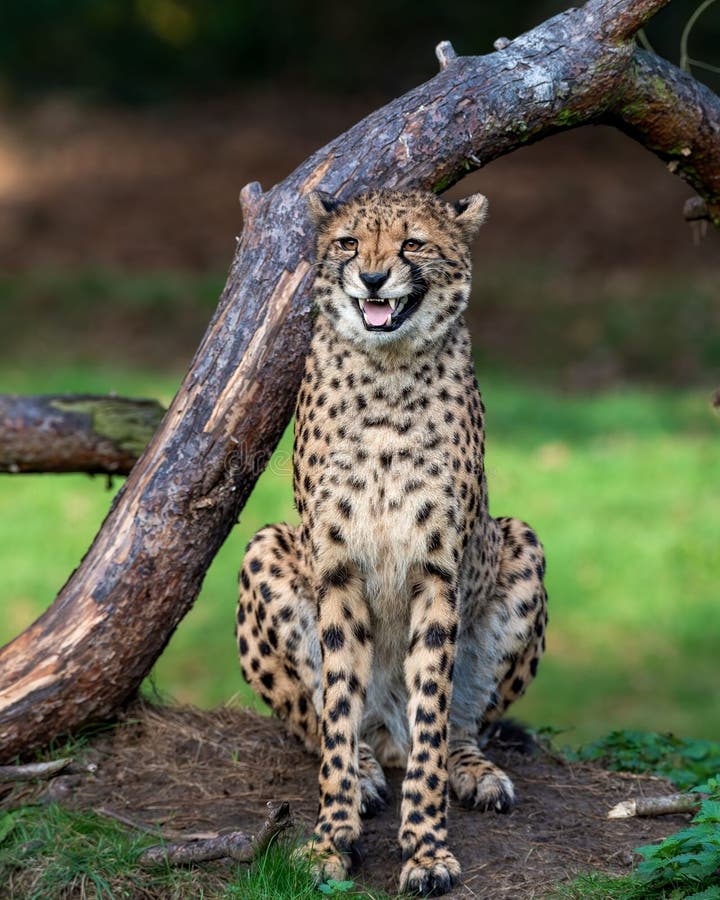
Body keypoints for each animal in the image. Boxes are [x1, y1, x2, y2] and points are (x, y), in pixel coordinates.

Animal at [236, 188, 548, 896]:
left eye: (412, 243)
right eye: (349, 242)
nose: (374, 278)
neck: (386, 373)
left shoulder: (438, 572)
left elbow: (434, 711)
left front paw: (427, 850)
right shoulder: (336, 567)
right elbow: (337, 701)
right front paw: (331, 839)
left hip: (520, 544)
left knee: (460, 723)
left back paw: (474, 771)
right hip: (264, 548)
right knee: (322, 721)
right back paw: (364, 768)